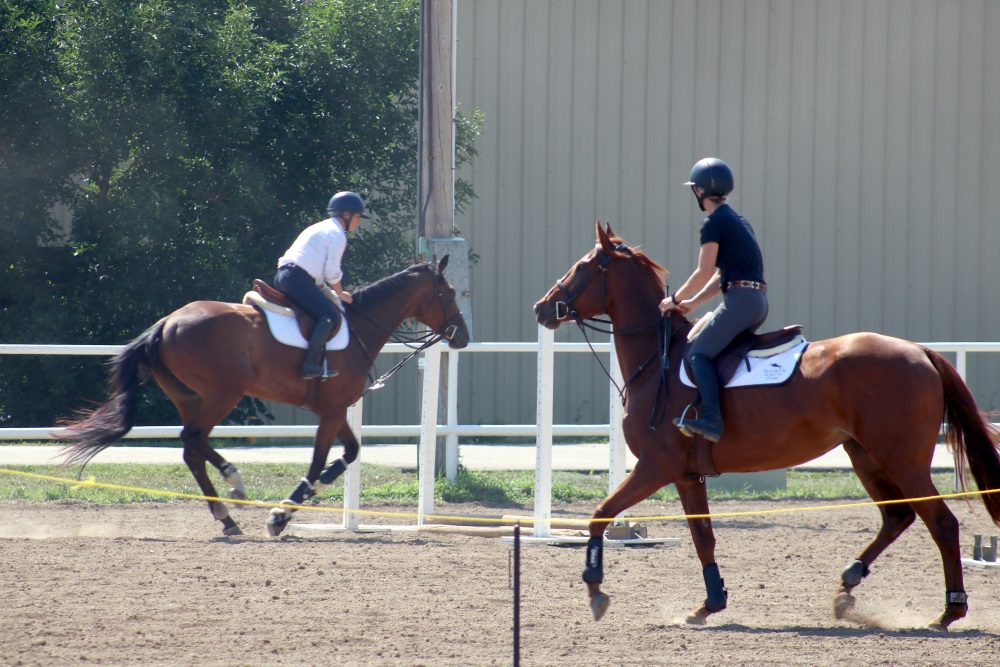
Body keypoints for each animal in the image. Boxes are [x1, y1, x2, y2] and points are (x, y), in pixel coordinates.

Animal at [57, 256, 469, 536]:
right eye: (449, 293)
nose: (462, 336)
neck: (361, 326)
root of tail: (165, 323)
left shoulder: (335, 409)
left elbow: (349, 453)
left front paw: (306, 495)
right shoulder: (332, 411)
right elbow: (319, 462)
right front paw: (282, 513)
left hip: (190, 399)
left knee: (192, 450)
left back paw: (226, 518)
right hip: (223, 394)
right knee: (193, 438)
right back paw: (235, 483)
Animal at [533, 222, 1000, 630]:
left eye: (583, 266)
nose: (542, 308)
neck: (658, 359)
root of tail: (920, 352)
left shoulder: (655, 466)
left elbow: (600, 514)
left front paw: (595, 590)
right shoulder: (685, 475)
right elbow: (703, 536)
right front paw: (709, 605)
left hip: (903, 459)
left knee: (941, 524)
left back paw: (948, 611)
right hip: (865, 455)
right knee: (897, 517)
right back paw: (847, 585)